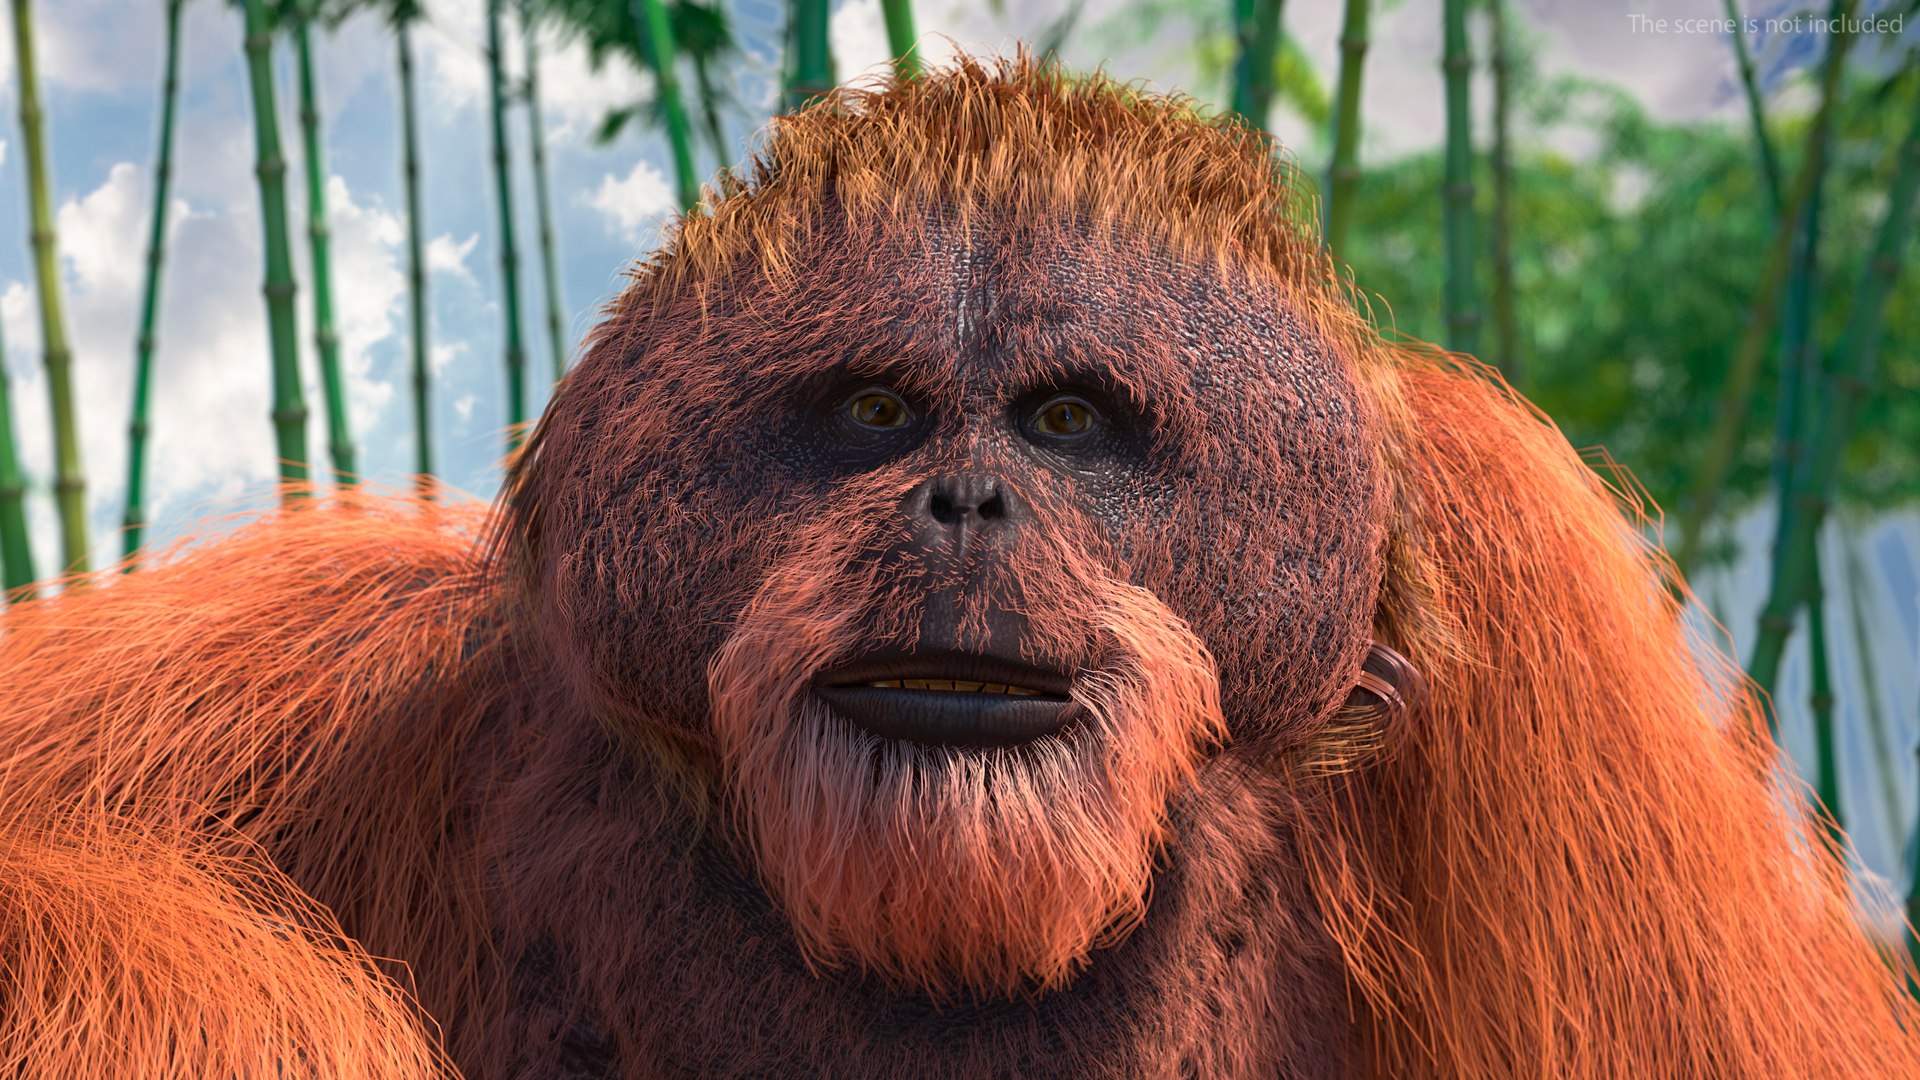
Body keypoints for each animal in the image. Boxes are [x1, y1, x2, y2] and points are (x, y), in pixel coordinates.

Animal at [2, 56, 1917, 1079]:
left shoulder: (1550, 648)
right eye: (873, 413)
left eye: (1068, 422)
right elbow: (65, 861)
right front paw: (229, 1001)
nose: (965, 505)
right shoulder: (328, 669)